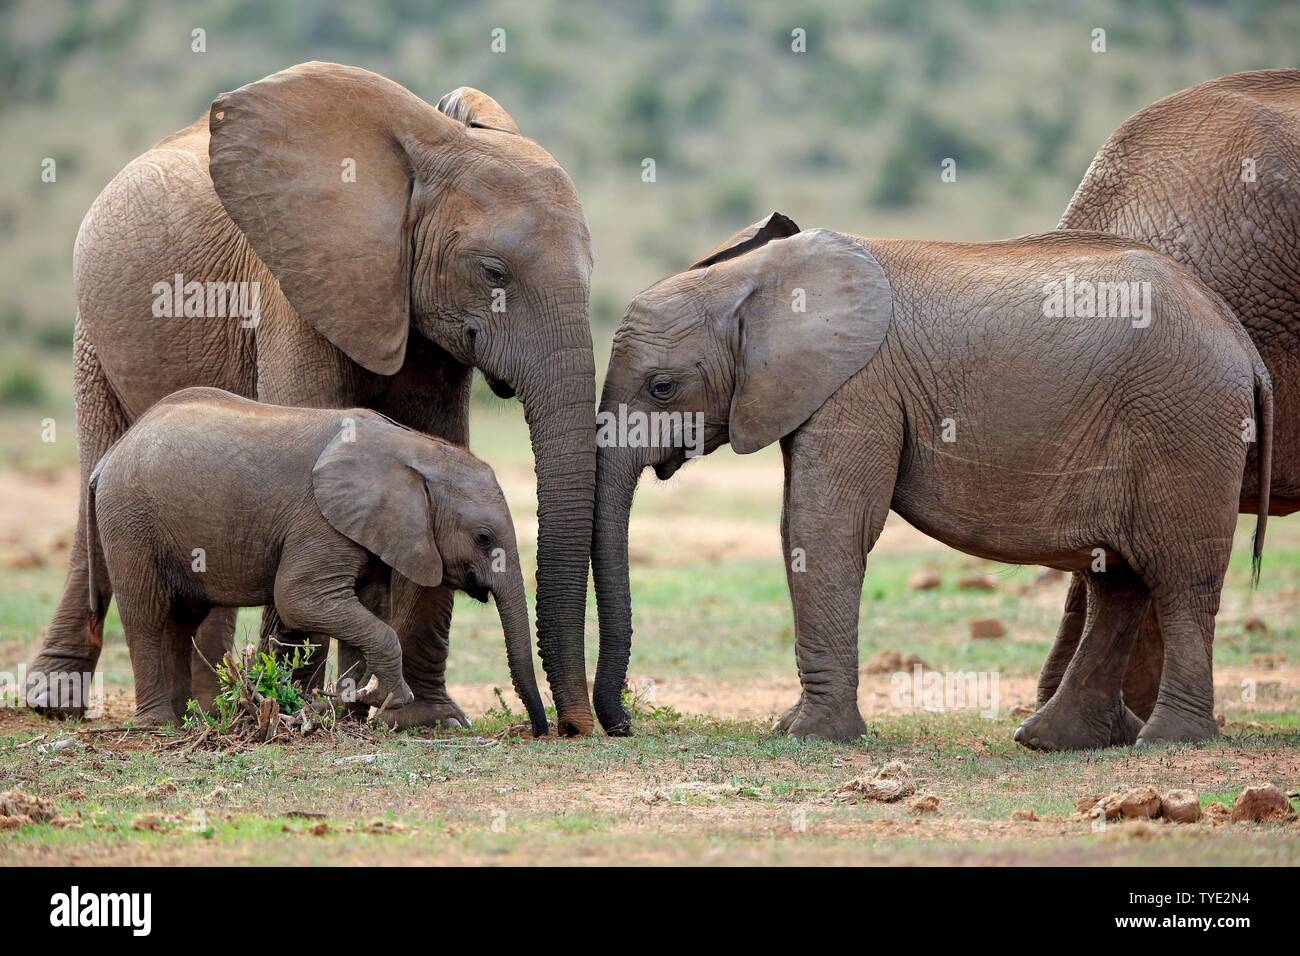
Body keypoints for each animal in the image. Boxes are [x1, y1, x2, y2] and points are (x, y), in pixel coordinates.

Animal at [83, 385, 546, 738]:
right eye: (483, 538)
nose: (541, 730)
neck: (416, 449)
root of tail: (107, 458)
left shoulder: (369, 528)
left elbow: (370, 608)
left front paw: (353, 708)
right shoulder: (321, 520)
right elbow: (299, 599)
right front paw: (386, 699)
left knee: (181, 621)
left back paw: (185, 720)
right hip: (129, 519)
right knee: (146, 614)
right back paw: (157, 725)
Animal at [595, 214, 1274, 749]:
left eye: (662, 387)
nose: (623, 724)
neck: (756, 281)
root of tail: (1241, 342)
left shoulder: (859, 386)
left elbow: (825, 528)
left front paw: (807, 736)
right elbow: (804, 526)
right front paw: (794, 727)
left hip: (1185, 422)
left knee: (1180, 575)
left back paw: (1167, 741)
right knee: (1119, 580)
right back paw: (1052, 741)